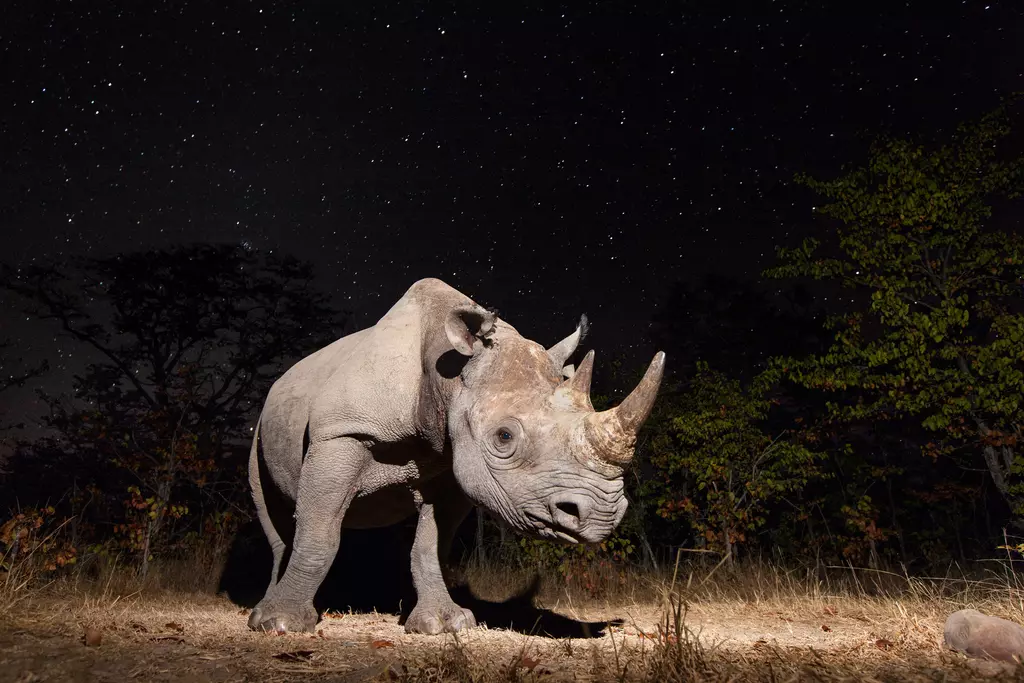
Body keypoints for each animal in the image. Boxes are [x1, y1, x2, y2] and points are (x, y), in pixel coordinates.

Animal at [247, 278, 665, 634]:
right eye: (504, 437)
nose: (602, 515)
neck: (451, 378)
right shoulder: (342, 431)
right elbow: (319, 533)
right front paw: (281, 624)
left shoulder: (453, 466)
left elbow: (431, 543)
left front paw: (444, 625)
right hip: (261, 423)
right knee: (275, 515)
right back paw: (263, 613)